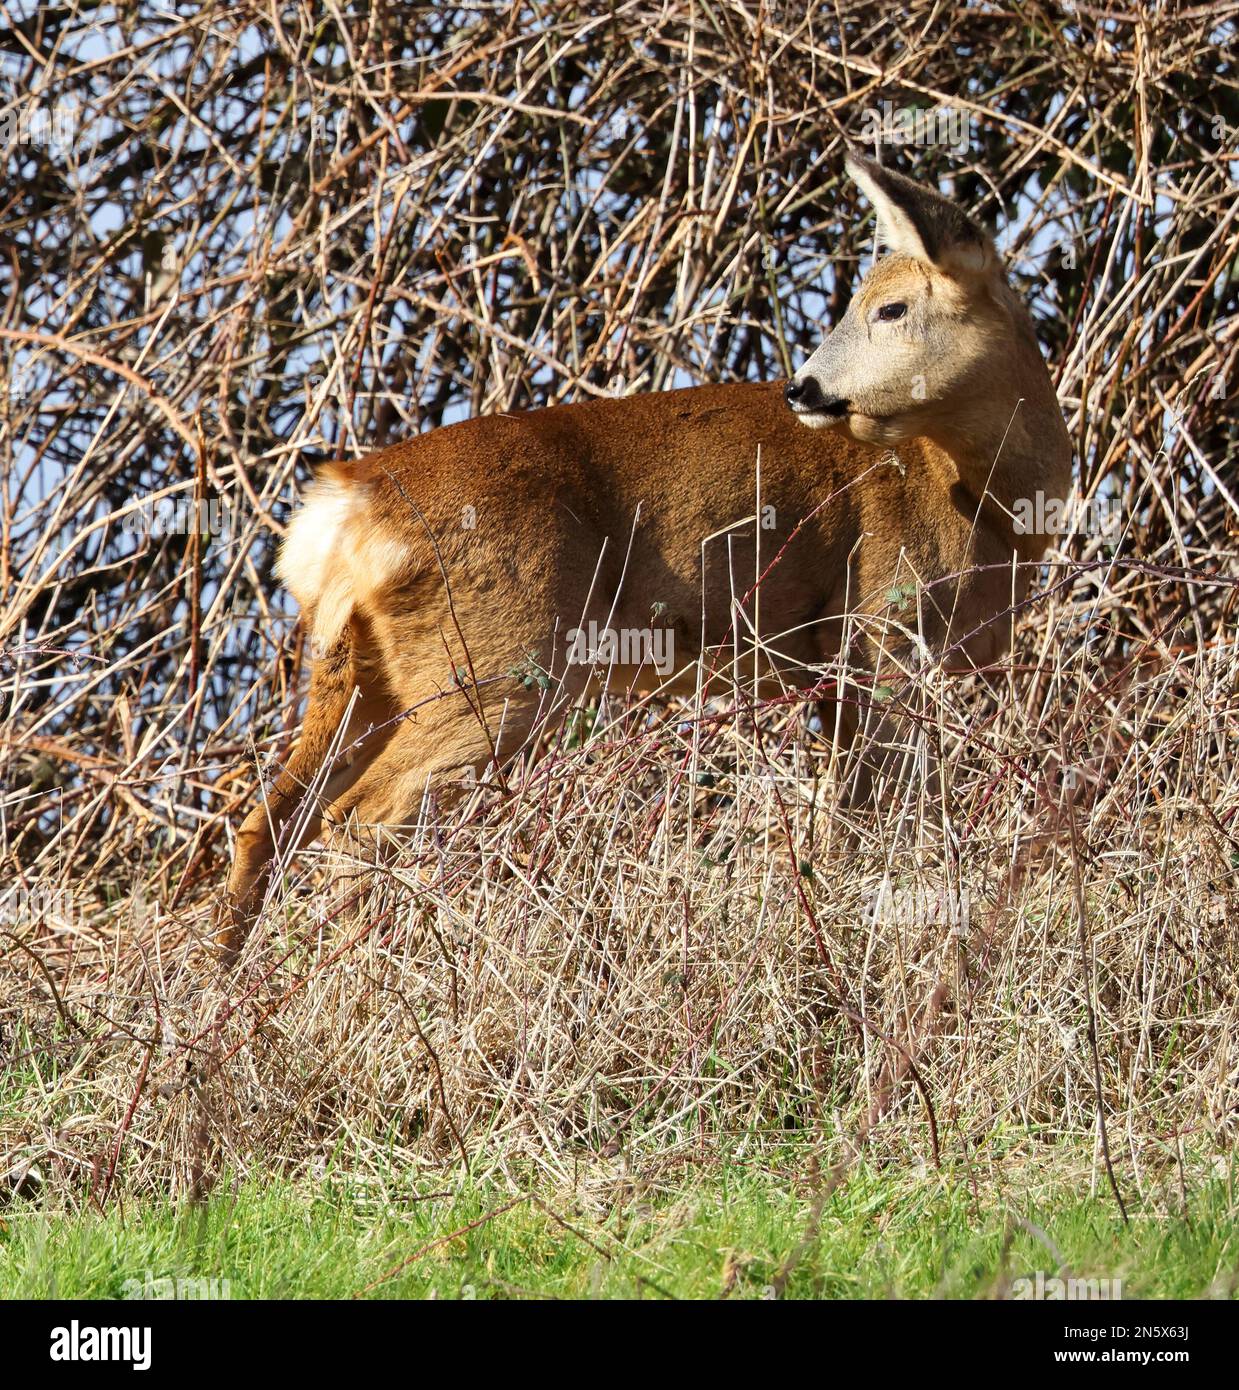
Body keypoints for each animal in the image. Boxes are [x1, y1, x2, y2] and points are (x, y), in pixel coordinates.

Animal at [217, 147, 1072, 959]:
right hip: (496, 660)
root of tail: (346, 502)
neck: (985, 499)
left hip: (358, 673)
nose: (801, 388)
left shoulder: (831, 669)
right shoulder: (880, 633)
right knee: (361, 816)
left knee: (268, 821)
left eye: (890, 306)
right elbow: (872, 816)